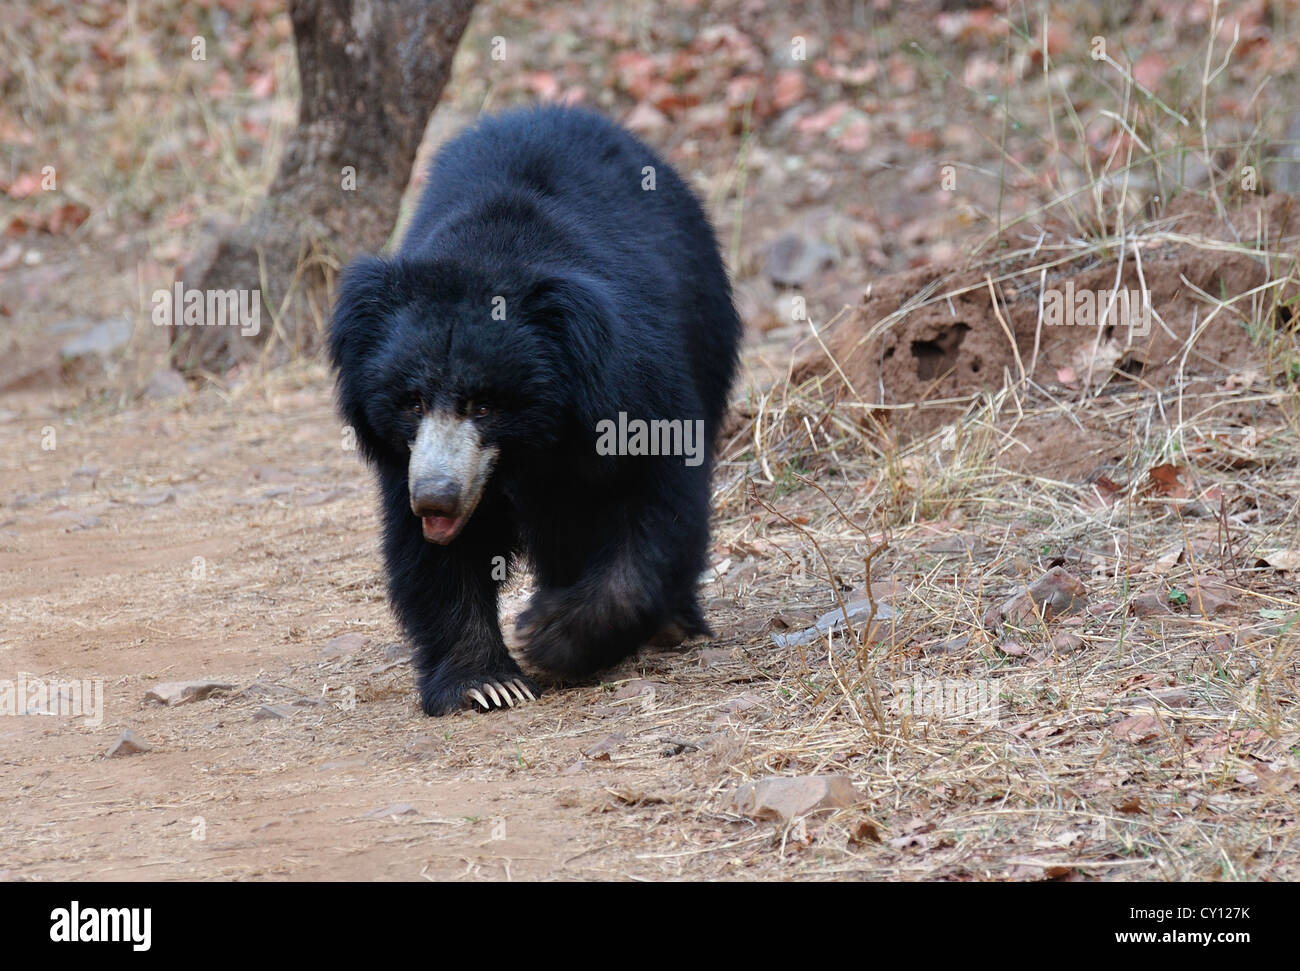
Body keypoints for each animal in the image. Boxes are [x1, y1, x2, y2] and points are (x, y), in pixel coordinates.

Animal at [329, 106, 741, 716]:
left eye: (483, 405)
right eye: (412, 400)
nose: (436, 497)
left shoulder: (635, 386)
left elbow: (656, 509)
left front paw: (545, 633)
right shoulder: (406, 459)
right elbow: (432, 557)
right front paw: (487, 684)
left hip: (708, 326)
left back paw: (671, 625)